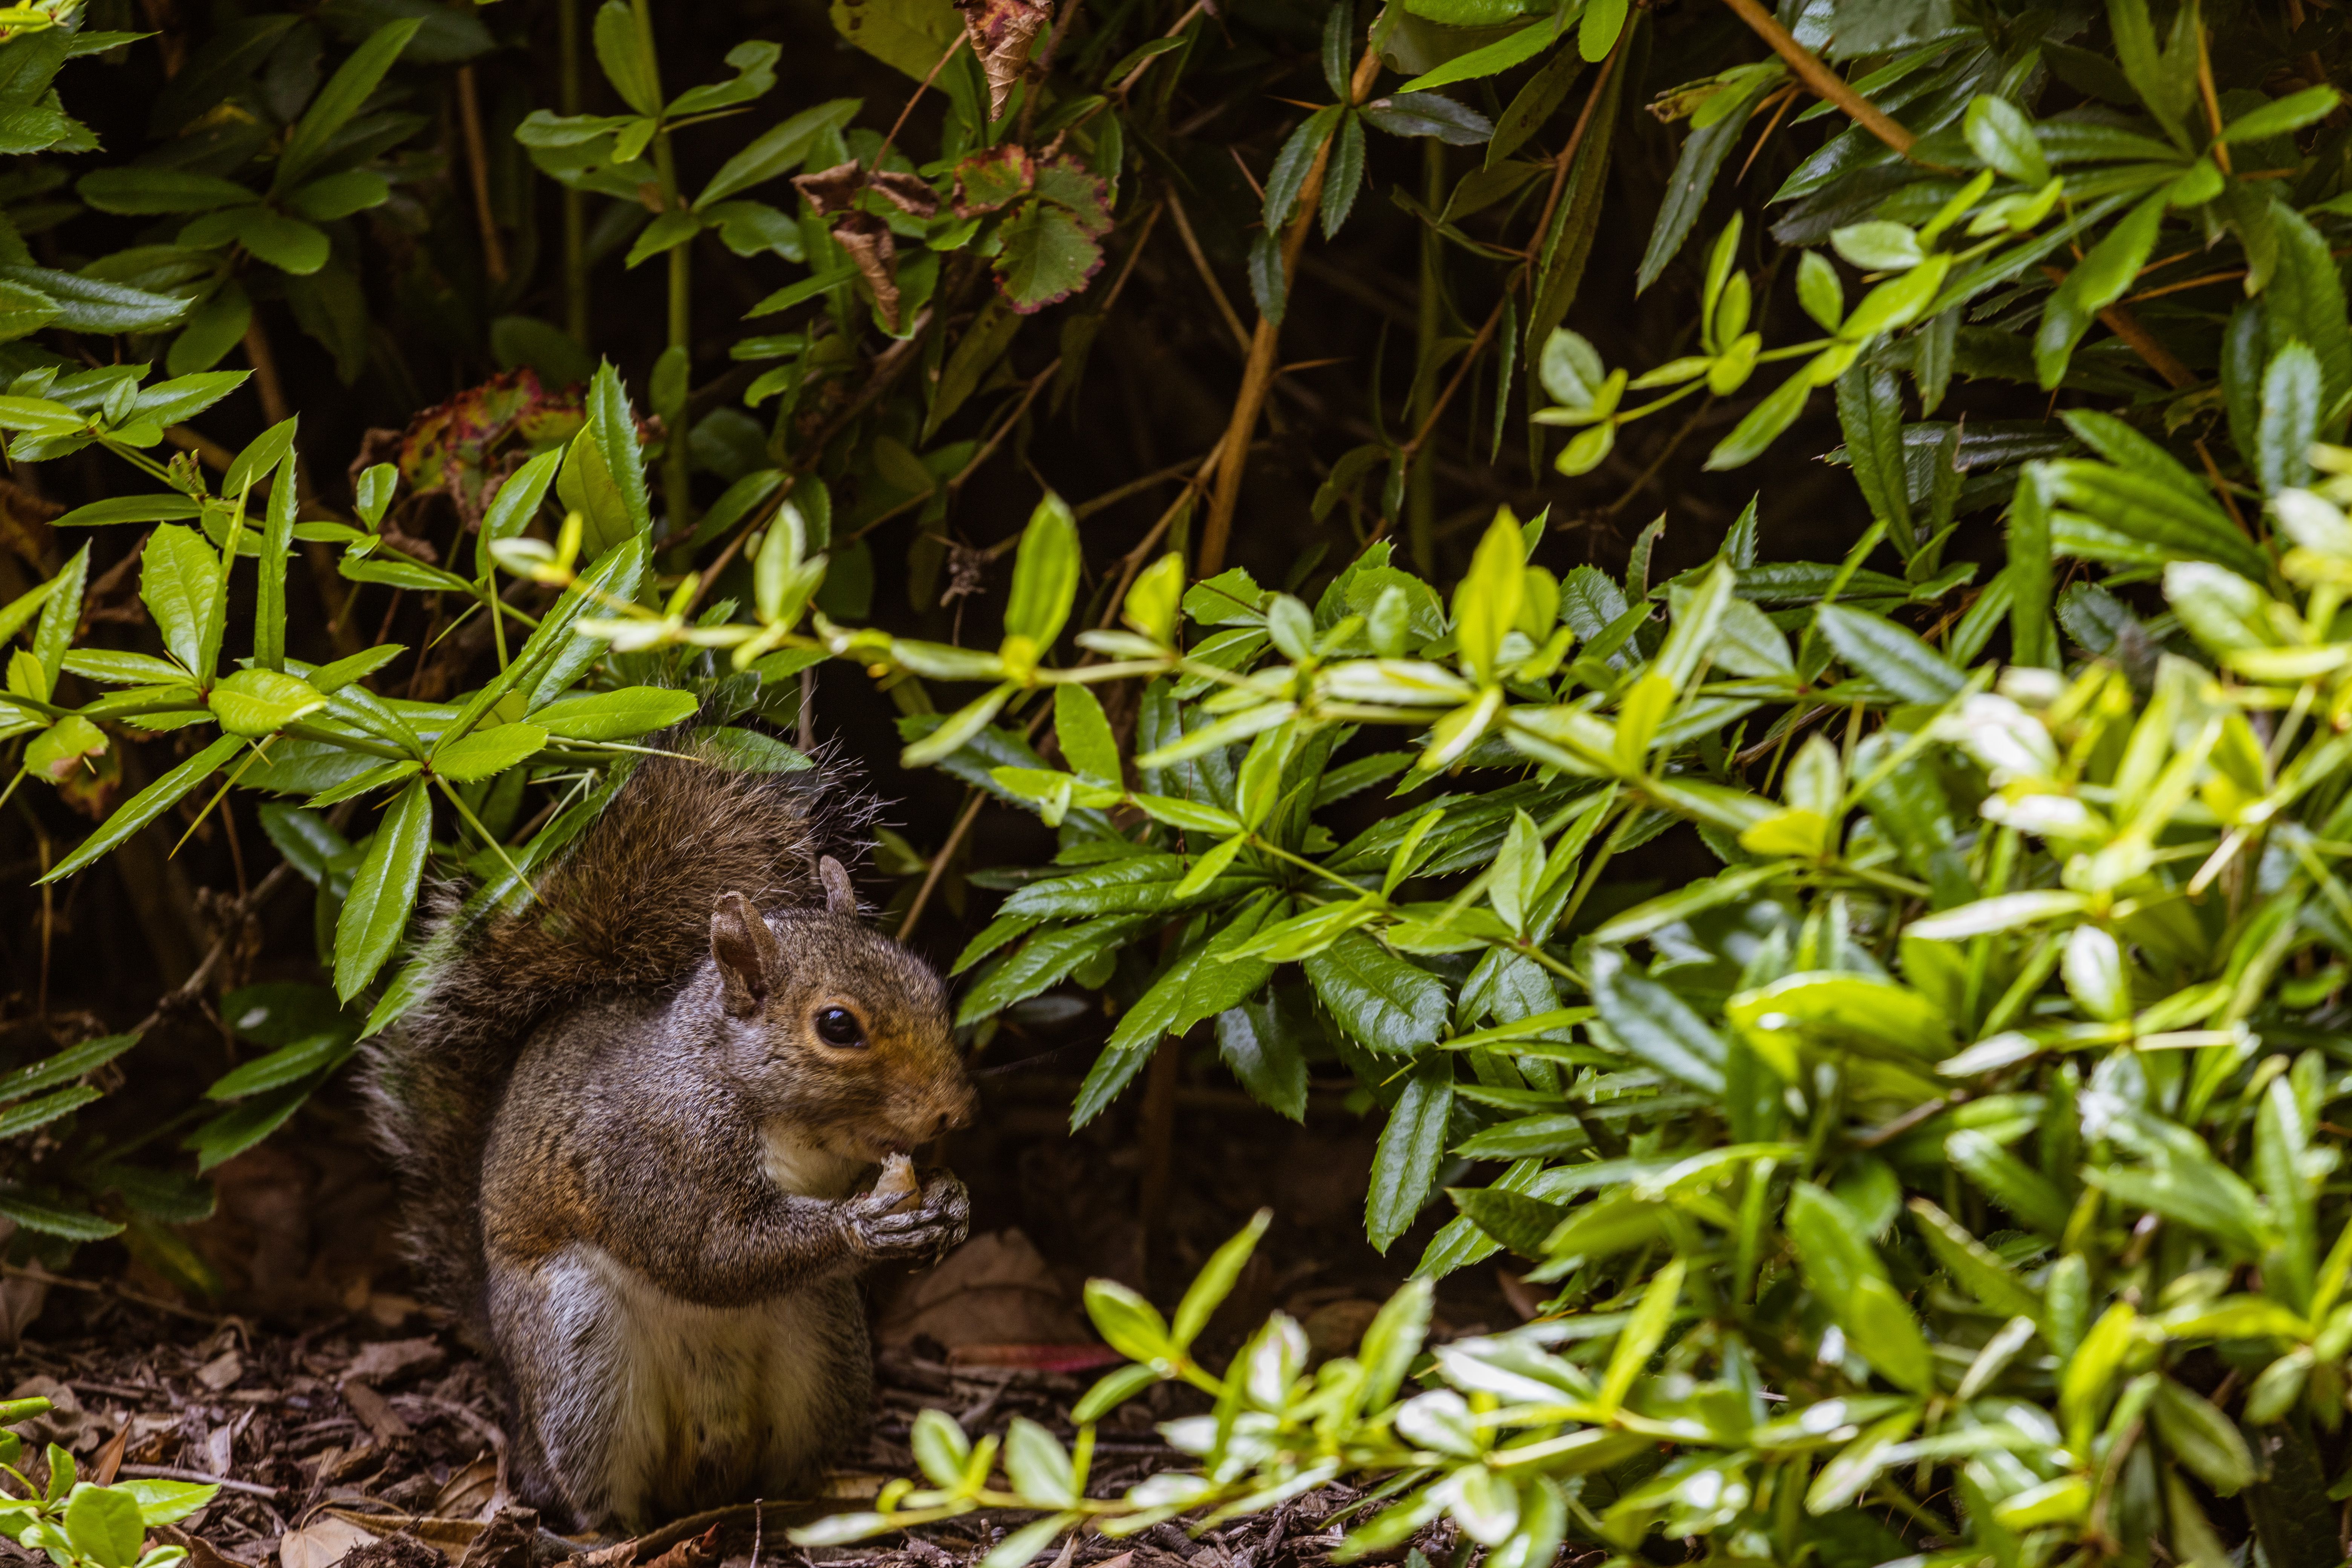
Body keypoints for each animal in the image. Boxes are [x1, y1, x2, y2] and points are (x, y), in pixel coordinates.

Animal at [362, 745, 977, 1531]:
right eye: (838, 1026)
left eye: (928, 983)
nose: (954, 1112)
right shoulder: (656, 1153)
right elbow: (708, 1252)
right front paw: (863, 1224)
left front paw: (951, 1201)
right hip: (579, 1354)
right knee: (592, 1490)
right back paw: (606, 1535)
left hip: (827, 1338)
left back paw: (800, 1504)